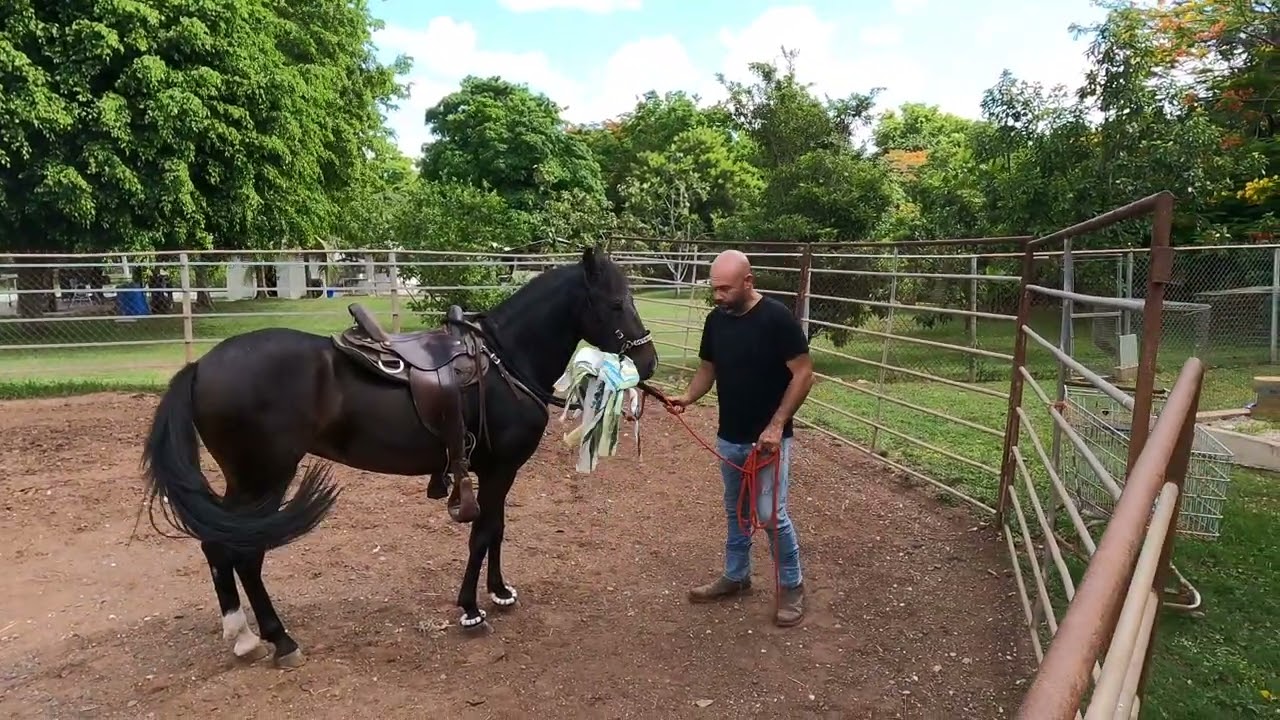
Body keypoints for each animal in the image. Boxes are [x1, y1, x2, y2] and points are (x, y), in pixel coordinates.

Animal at [139, 247, 659, 668]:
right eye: (616, 303)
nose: (648, 361)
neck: (506, 361)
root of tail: (200, 366)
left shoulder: (499, 472)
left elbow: (496, 530)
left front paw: (499, 592)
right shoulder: (498, 471)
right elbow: (482, 533)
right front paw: (471, 609)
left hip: (243, 484)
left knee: (217, 546)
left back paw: (242, 636)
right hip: (263, 480)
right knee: (245, 554)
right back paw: (279, 641)